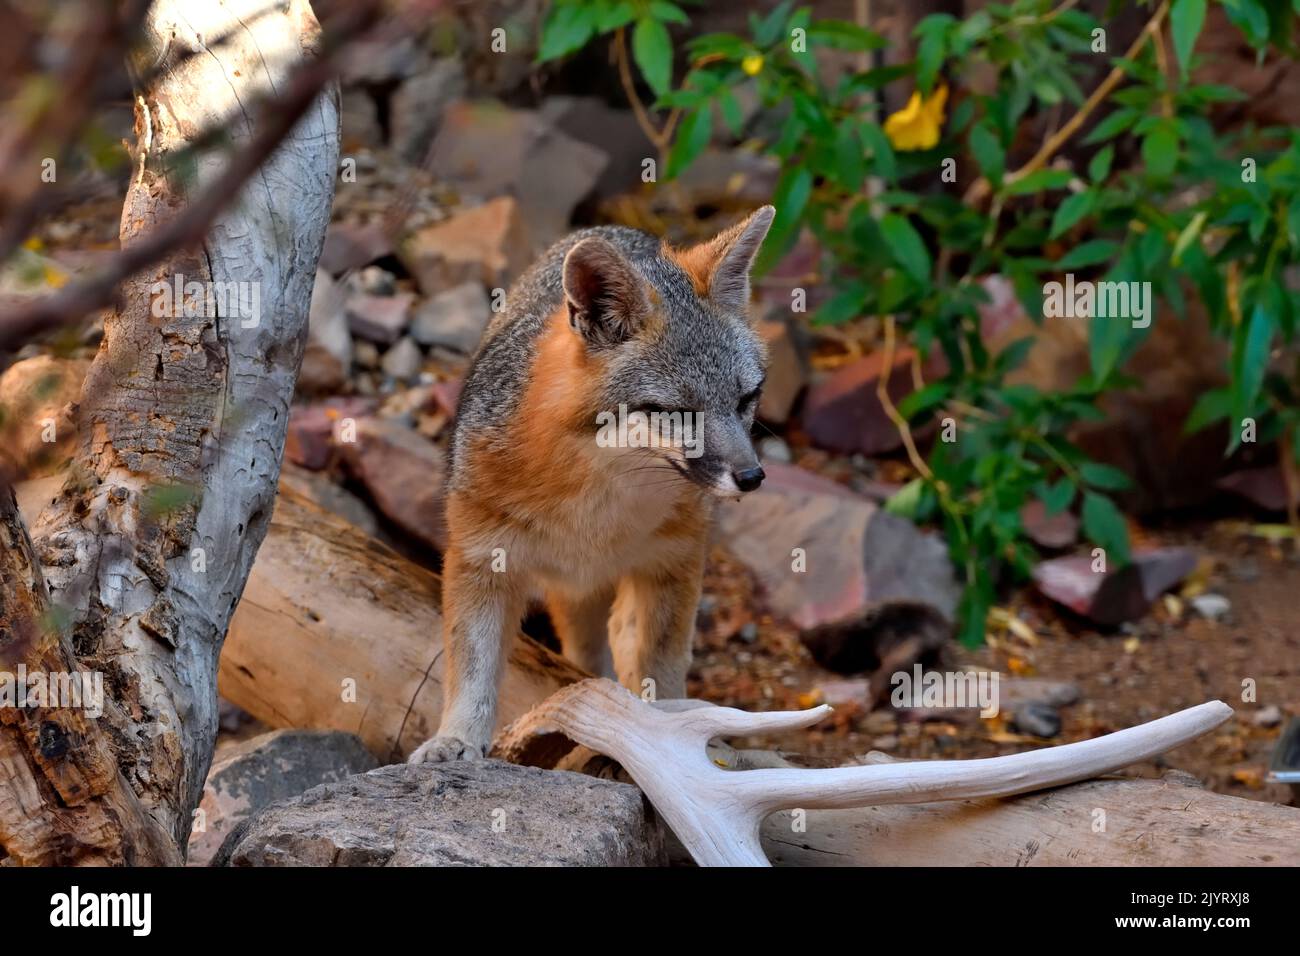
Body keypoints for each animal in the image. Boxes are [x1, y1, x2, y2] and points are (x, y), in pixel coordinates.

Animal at [407, 205, 776, 763]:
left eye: (746, 400)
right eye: (679, 413)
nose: (752, 477)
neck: (597, 506)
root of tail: (611, 228)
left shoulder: (671, 565)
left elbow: (661, 671)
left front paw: (673, 730)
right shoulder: (480, 557)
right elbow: (472, 663)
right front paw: (457, 738)